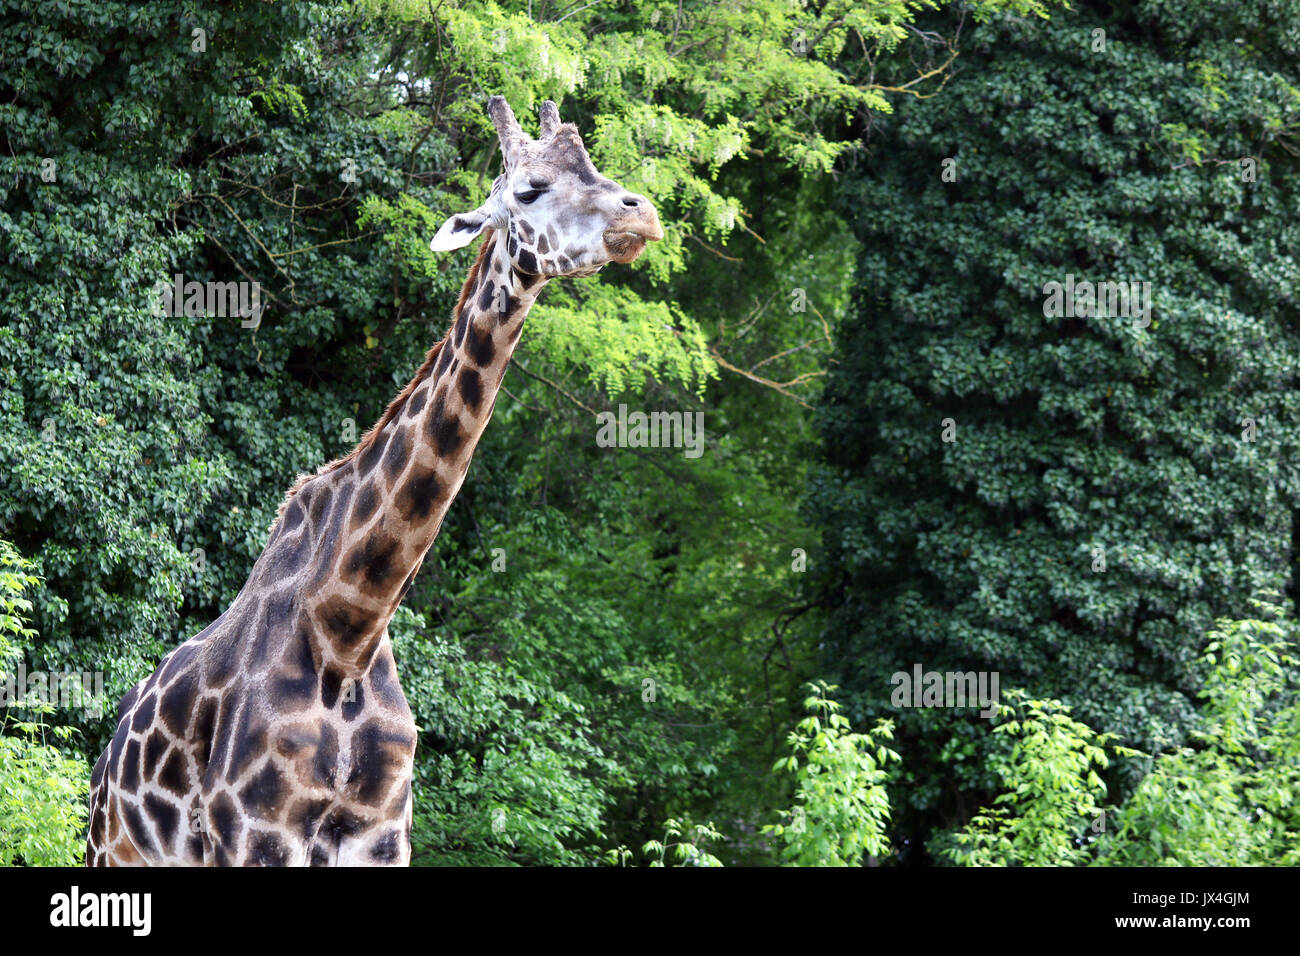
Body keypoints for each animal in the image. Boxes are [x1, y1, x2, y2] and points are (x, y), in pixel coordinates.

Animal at [86, 96, 662, 866]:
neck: (348, 629)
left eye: (593, 165)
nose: (643, 215)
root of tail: (104, 765)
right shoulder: (257, 833)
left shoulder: (382, 834)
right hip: (118, 851)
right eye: (528, 190)